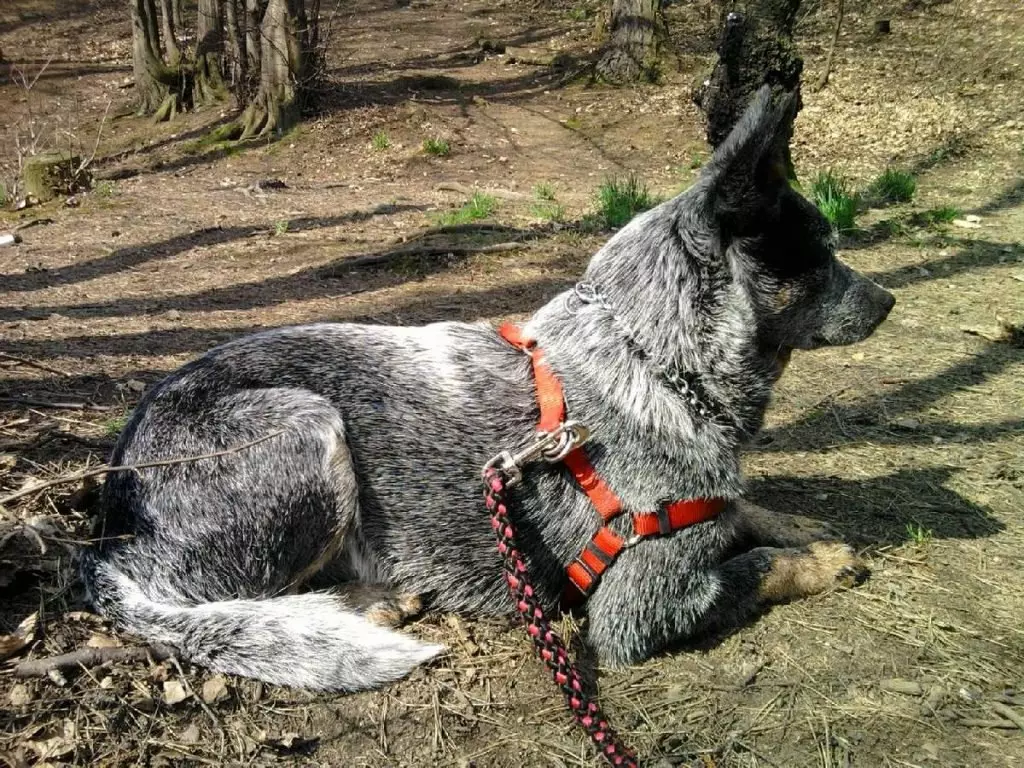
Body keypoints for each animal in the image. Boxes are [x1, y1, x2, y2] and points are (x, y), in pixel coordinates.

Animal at [79, 87, 897, 696]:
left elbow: (748, 511)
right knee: (228, 599)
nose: (889, 300)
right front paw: (817, 561)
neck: (648, 358)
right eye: (822, 253)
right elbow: (757, 568)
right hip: (307, 426)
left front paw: (797, 524)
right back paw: (371, 603)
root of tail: (109, 537)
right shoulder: (642, 609)